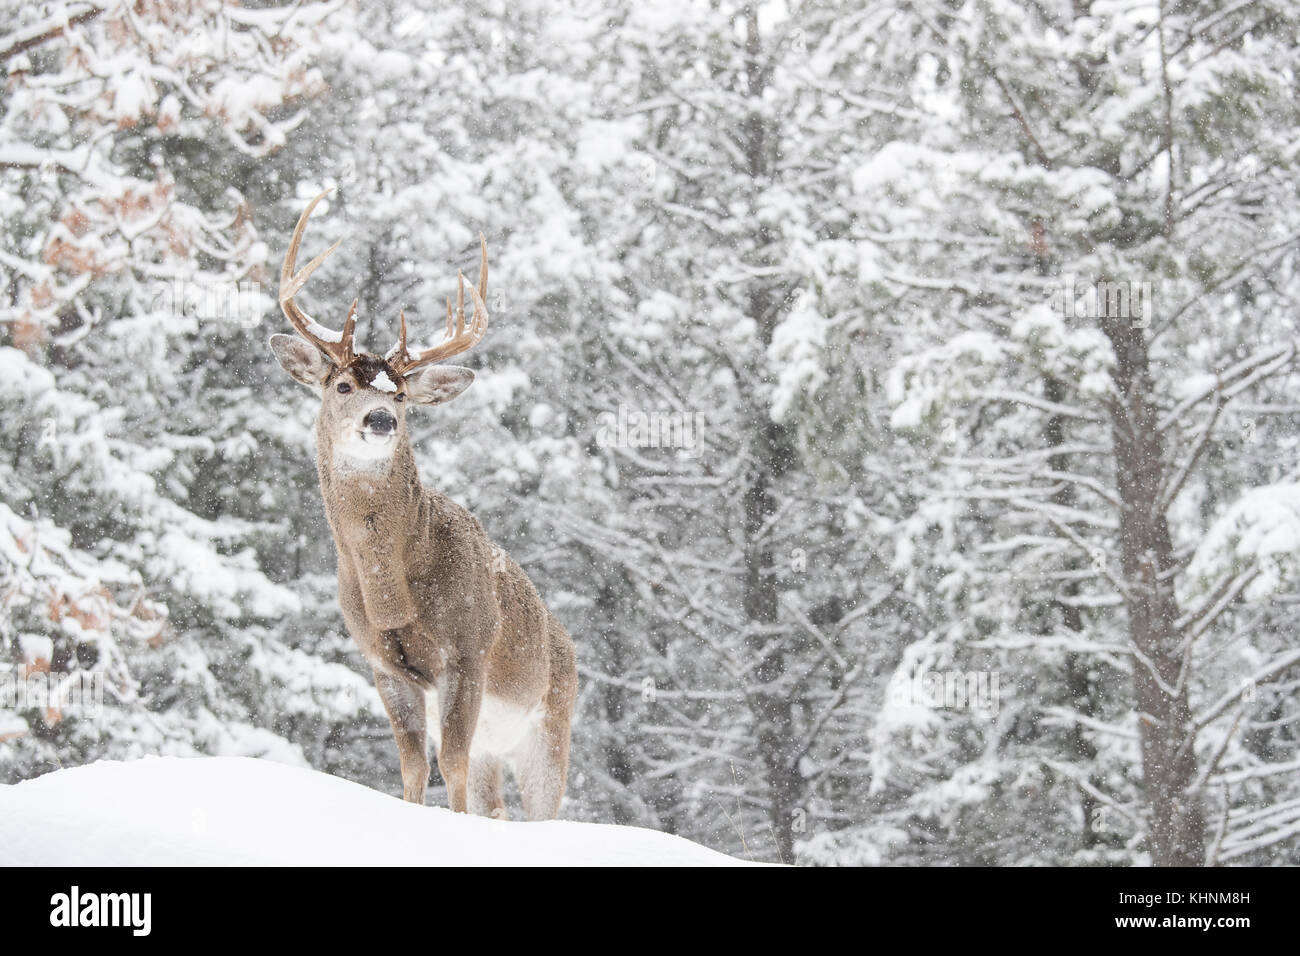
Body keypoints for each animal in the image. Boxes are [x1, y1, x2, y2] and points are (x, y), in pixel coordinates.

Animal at [268, 190, 577, 820]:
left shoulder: (468, 650)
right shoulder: (383, 665)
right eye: (342, 385)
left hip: (549, 723)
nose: (381, 418)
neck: (396, 588)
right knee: (494, 802)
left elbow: (448, 766)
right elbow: (413, 770)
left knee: (540, 807)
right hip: (497, 742)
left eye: (404, 395)